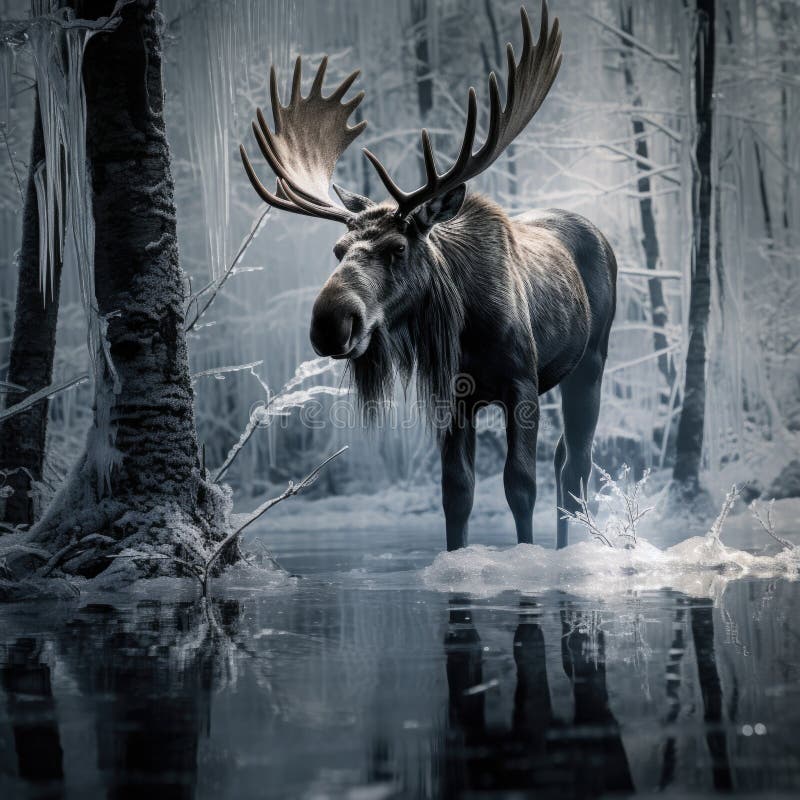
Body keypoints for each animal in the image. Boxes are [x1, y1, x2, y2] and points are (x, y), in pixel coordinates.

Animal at [239, 1, 616, 552]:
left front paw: (527, 554)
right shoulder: (452, 396)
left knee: (576, 465)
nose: (330, 322)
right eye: (337, 250)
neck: (465, 327)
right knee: (566, 458)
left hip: (592, 360)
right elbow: (456, 491)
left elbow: (519, 485)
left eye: (398, 248)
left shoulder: (521, 384)